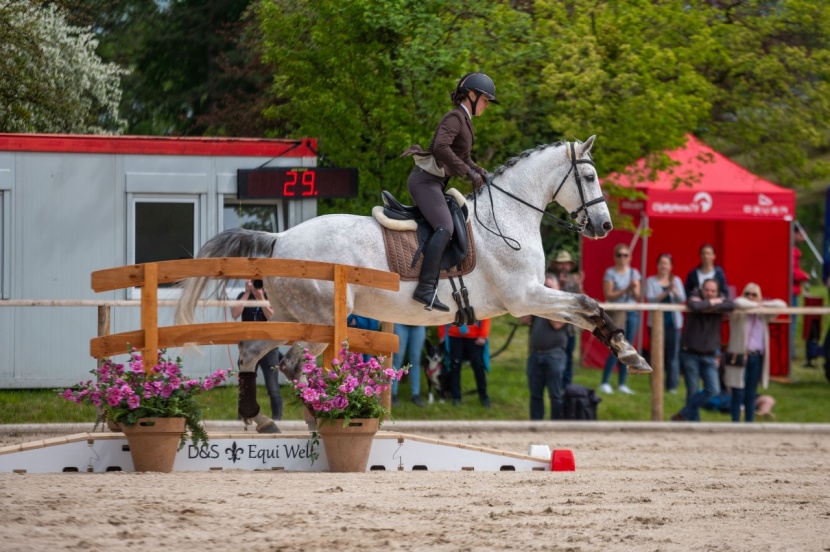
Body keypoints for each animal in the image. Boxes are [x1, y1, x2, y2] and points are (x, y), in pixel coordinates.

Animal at [175, 136, 652, 432]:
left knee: (251, 353)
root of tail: (279, 239)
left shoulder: (534, 296)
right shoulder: (527, 297)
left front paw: (628, 353)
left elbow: (584, 311)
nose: (604, 226)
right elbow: (586, 303)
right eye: (589, 178)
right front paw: (630, 353)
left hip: (292, 316)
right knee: (291, 366)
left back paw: (260, 418)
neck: (509, 217)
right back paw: (313, 417)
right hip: (318, 320)